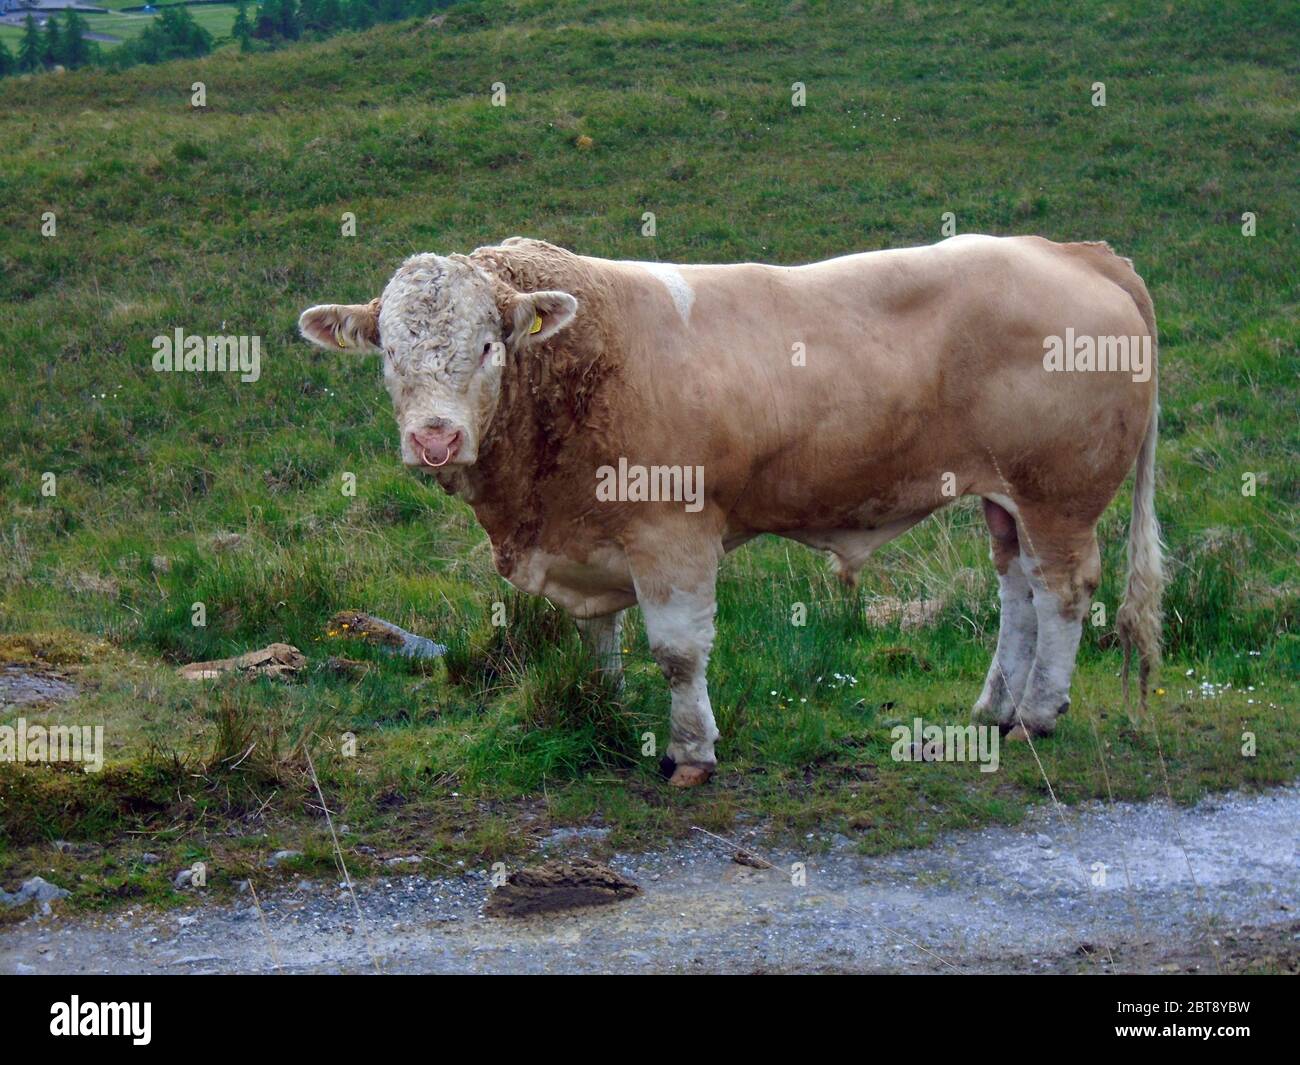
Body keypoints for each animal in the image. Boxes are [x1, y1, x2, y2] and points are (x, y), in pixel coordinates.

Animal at [299, 235, 1163, 787]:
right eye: (388, 353)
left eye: (487, 345)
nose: (434, 438)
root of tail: (1072, 250)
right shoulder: (584, 542)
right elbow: (597, 645)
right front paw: (603, 712)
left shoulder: (672, 533)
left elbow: (679, 651)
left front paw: (689, 753)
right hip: (1004, 497)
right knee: (1018, 588)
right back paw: (993, 707)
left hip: (1058, 492)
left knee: (1063, 590)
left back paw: (1037, 713)